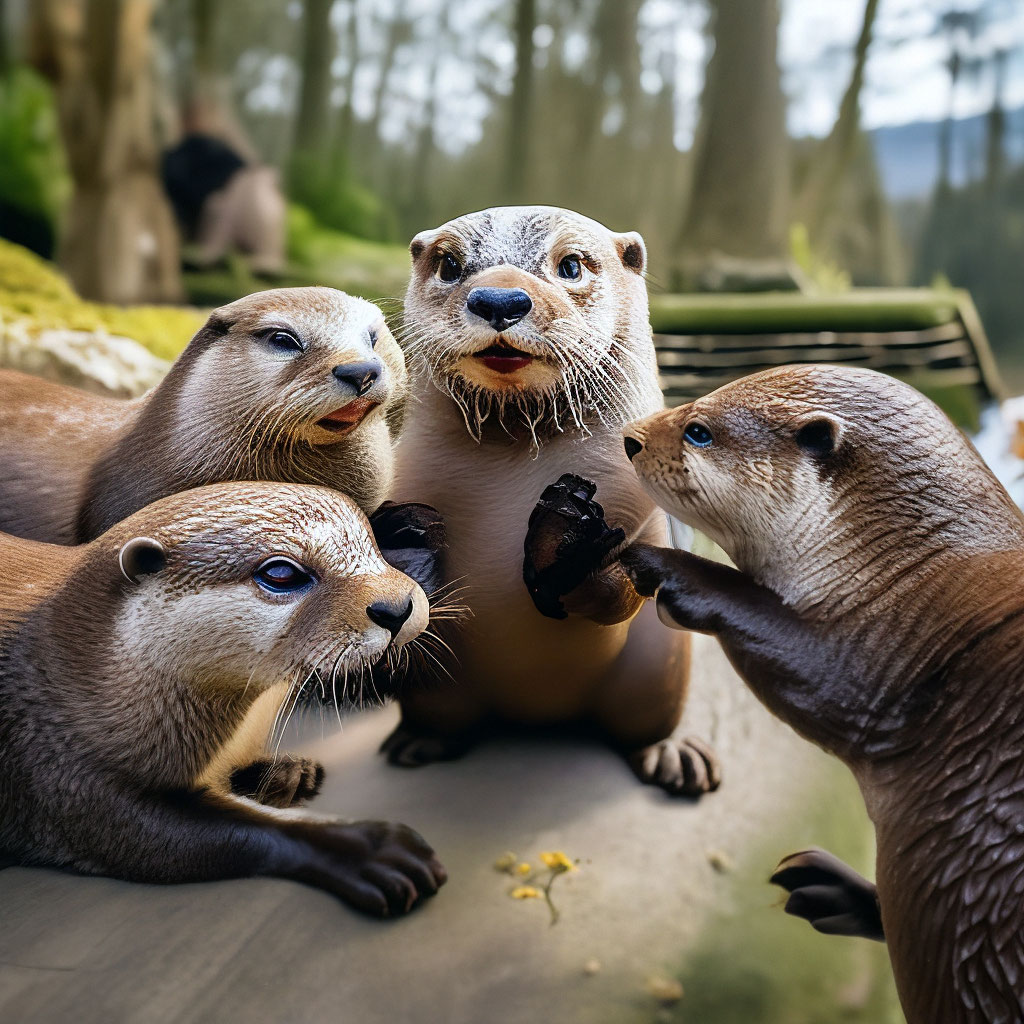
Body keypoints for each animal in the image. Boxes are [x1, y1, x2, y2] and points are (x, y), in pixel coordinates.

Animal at [0, 481, 446, 917]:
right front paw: (371, 848)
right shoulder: (56, 761)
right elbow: (226, 832)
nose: (397, 608)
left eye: (373, 546)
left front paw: (285, 771)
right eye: (281, 573)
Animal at [385, 206, 718, 796]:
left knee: (646, 721)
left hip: (658, 668)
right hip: (439, 688)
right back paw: (421, 741)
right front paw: (407, 541)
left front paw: (566, 552)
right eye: (449, 264)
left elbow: (623, 584)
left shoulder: (644, 513)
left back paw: (673, 754)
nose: (499, 300)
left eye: (570, 265)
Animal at [619, 364, 1024, 1022]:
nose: (629, 437)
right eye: (697, 401)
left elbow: (816, 672)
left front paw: (666, 566)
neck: (910, 575)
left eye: (699, 430)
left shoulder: (896, 653)